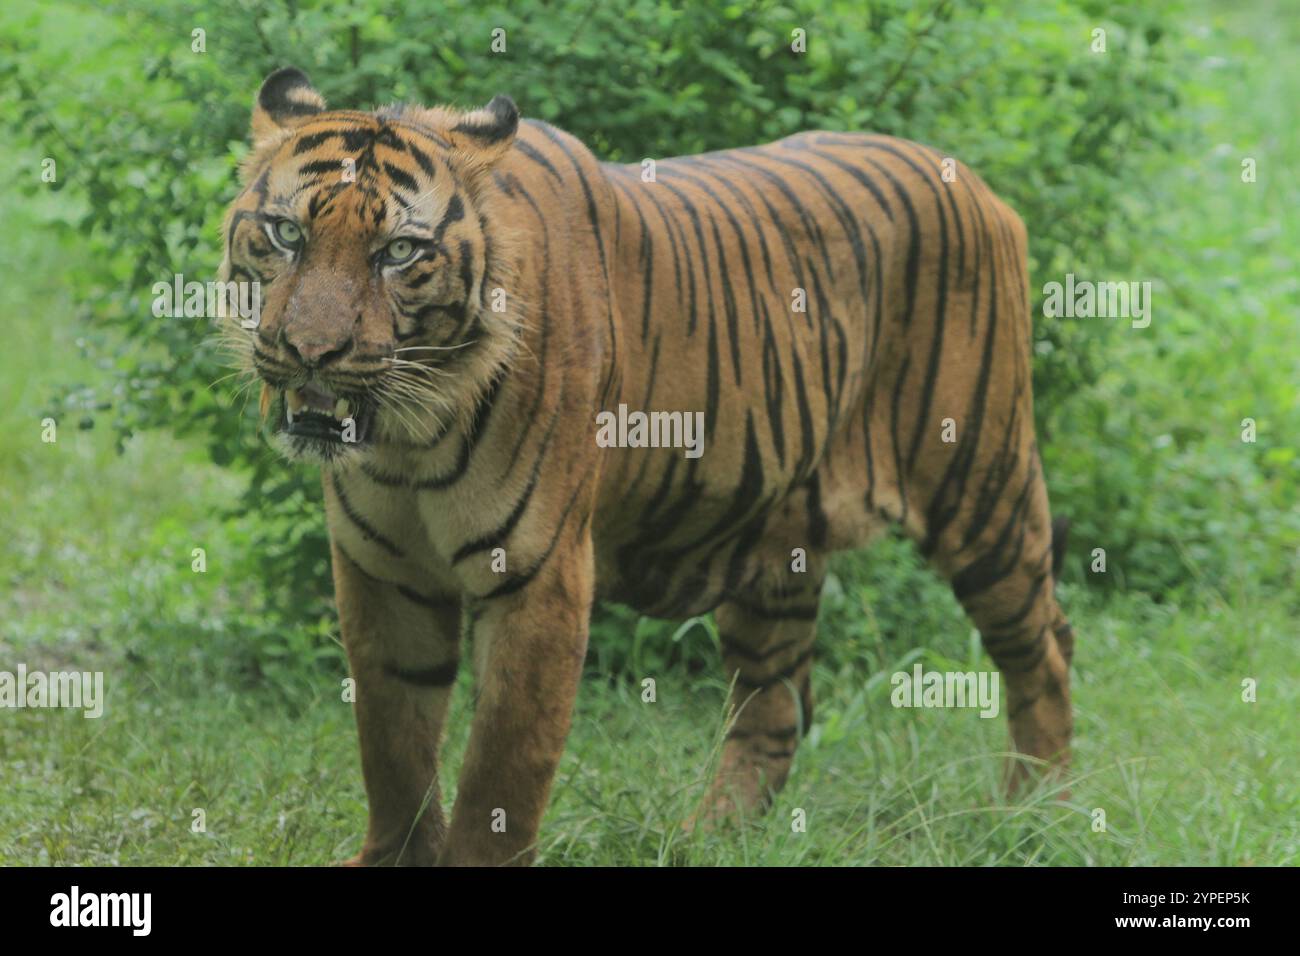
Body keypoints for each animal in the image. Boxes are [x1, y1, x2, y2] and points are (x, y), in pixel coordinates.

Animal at [220, 67, 1075, 866]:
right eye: (287, 234)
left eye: (398, 253)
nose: (310, 352)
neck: (407, 438)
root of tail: (973, 183)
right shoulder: (381, 573)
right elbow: (392, 746)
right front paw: (392, 855)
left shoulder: (539, 577)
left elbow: (502, 771)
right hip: (777, 548)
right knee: (776, 704)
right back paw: (713, 837)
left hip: (981, 489)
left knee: (1046, 645)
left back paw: (1035, 813)